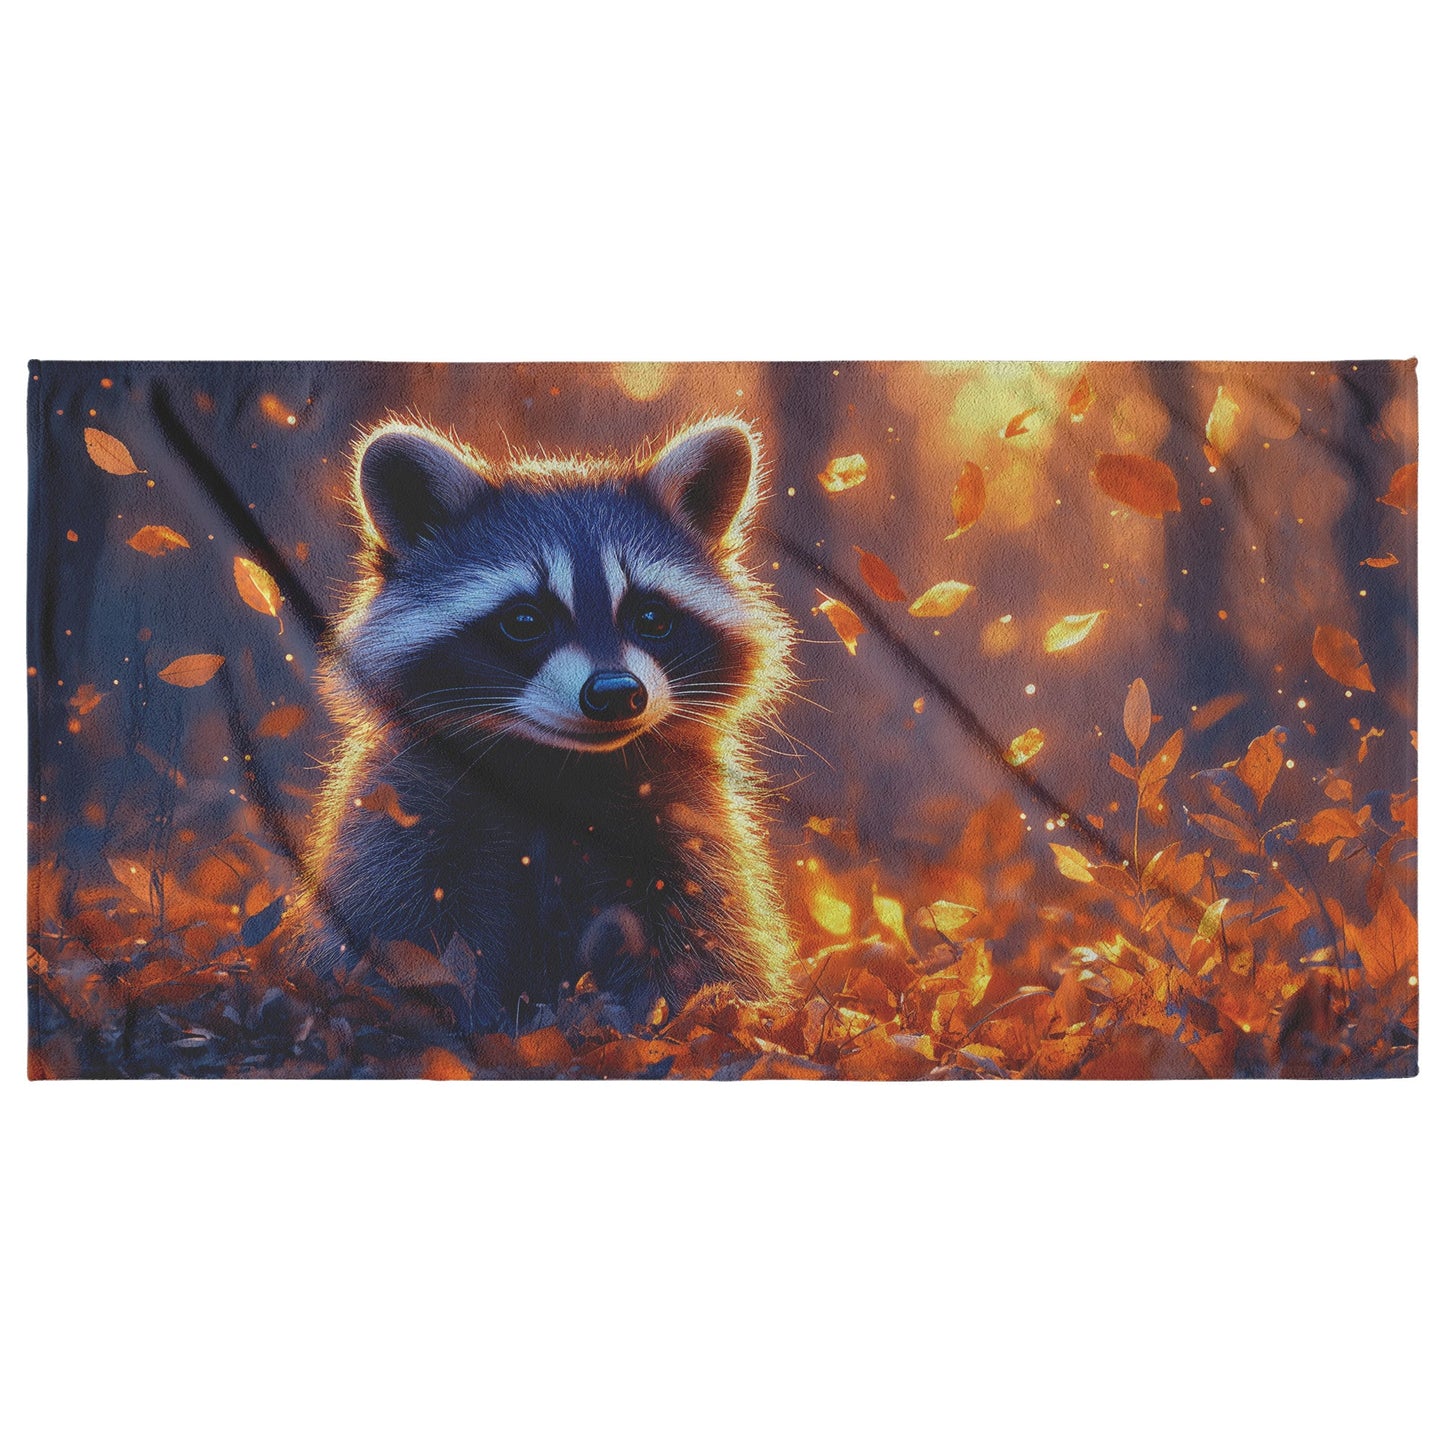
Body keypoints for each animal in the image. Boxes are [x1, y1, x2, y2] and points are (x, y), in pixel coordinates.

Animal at [299, 414, 797, 1020]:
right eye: (524, 620)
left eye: (651, 617)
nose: (615, 693)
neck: (560, 765)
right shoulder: (405, 806)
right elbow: (396, 925)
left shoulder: (687, 820)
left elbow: (711, 935)